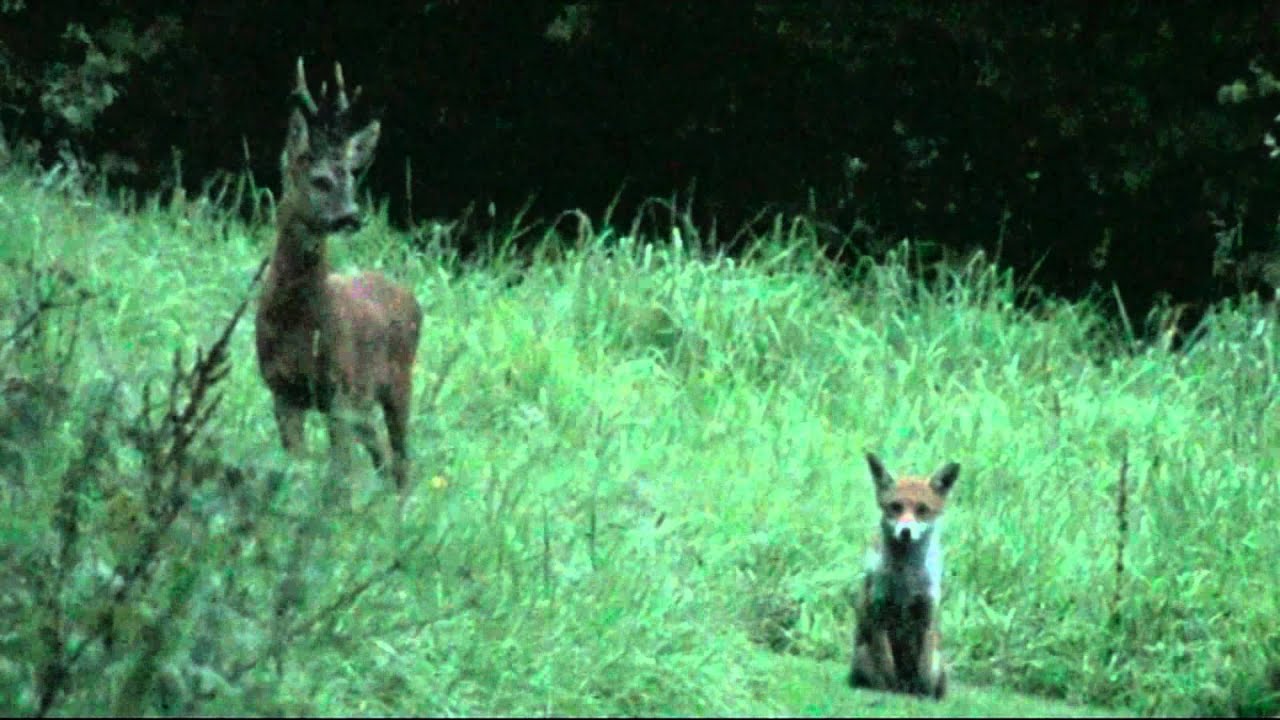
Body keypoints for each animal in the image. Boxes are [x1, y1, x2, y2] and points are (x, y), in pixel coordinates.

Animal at [254, 57, 422, 494]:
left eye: (351, 176)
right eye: (320, 180)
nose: (352, 216)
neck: (299, 322)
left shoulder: (338, 391)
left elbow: (339, 479)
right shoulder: (281, 391)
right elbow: (297, 467)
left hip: (398, 381)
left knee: (401, 461)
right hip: (364, 403)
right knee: (382, 455)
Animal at [848, 452, 960, 700]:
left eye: (922, 509)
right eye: (895, 507)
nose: (905, 532)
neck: (906, 579)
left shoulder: (926, 615)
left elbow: (924, 671)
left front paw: (923, 696)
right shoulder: (879, 613)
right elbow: (886, 665)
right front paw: (888, 691)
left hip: (940, 661)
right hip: (862, 654)